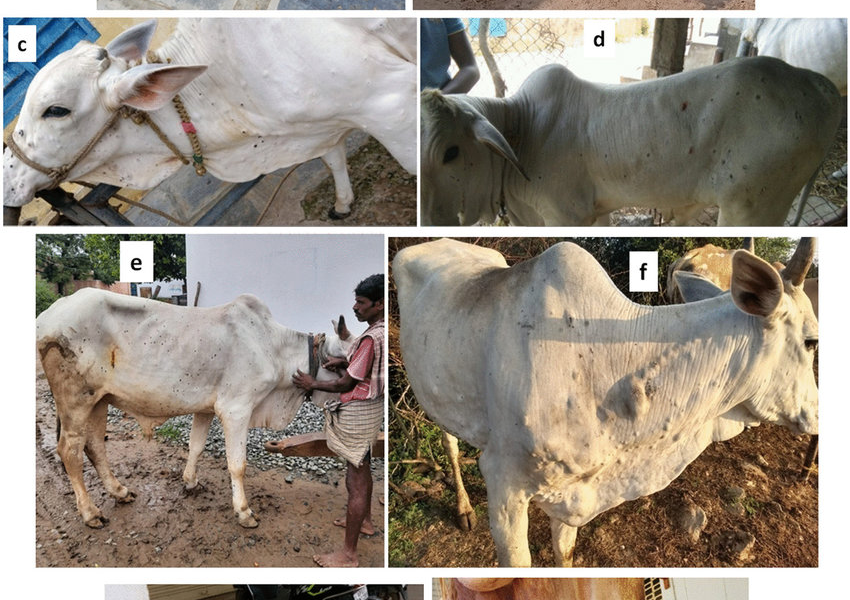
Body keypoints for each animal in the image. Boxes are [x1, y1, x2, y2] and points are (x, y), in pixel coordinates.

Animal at [4, 19, 416, 222]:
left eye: (56, 110)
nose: (5, 178)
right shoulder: (323, 126)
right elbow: (333, 158)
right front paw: (343, 204)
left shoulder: (391, 101)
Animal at [36, 288, 353, 529]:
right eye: (343, 364)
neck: (273, 347)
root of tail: (49, 315)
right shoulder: (236, 409)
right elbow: (237, 464)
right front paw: (244, 511)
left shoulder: (207, 408)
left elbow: (196, 446)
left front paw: (190, 482)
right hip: (75, 399)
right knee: (70, 452)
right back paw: (90, 513)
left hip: (99, 400)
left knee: (95, 446)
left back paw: (120, 491)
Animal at [393, 238, 818, 566]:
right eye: (813, 340)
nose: (815, 413)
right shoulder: (503, 481)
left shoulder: (576, 487)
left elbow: (564, 555)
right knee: (448, 441)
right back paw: (464, 508)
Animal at [420, 57, 841, 226]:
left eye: (451, 152)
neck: (521, 130)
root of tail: (816, 83)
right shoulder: (595, 210)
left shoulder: (565, 214)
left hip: (750, 207)